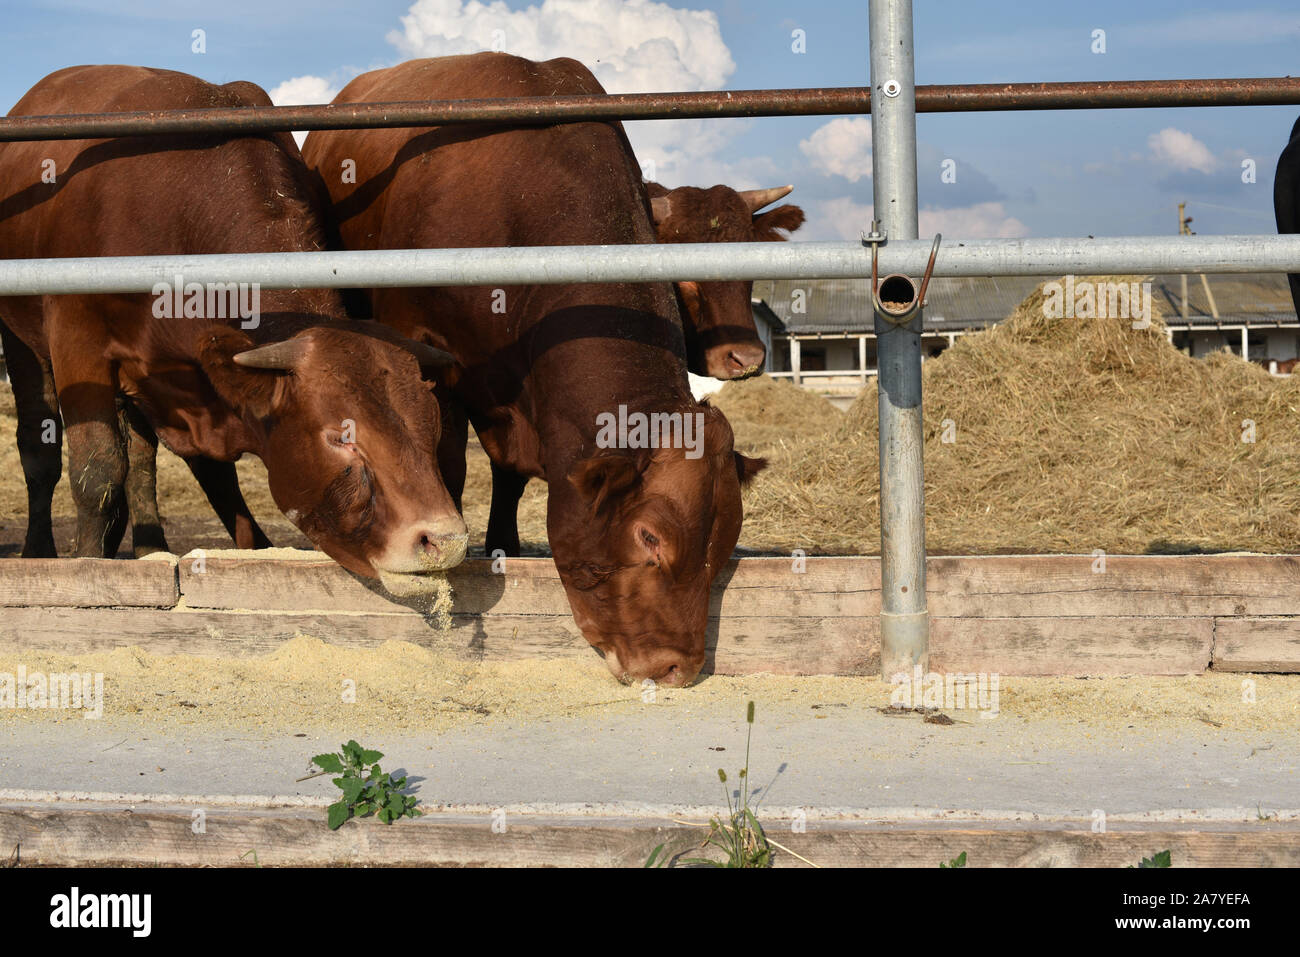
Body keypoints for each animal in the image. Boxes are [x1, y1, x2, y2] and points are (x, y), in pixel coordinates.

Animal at [0, 66, 468, 594]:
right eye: (340, 436)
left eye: (432, 425)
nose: (445, 540)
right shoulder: (77, 339)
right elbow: (96, 472)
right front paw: (86, 565)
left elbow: (205, 478)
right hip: (22, 342)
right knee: (40, 452)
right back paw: (40, 550)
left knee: (142, 464)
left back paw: (148, 548)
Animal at [302, 53, 765, 686]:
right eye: (649, 537)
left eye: (722, 549)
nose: (677, 667)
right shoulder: (427, 352)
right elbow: (446, 463)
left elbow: (510, 477)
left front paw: (507, 546)